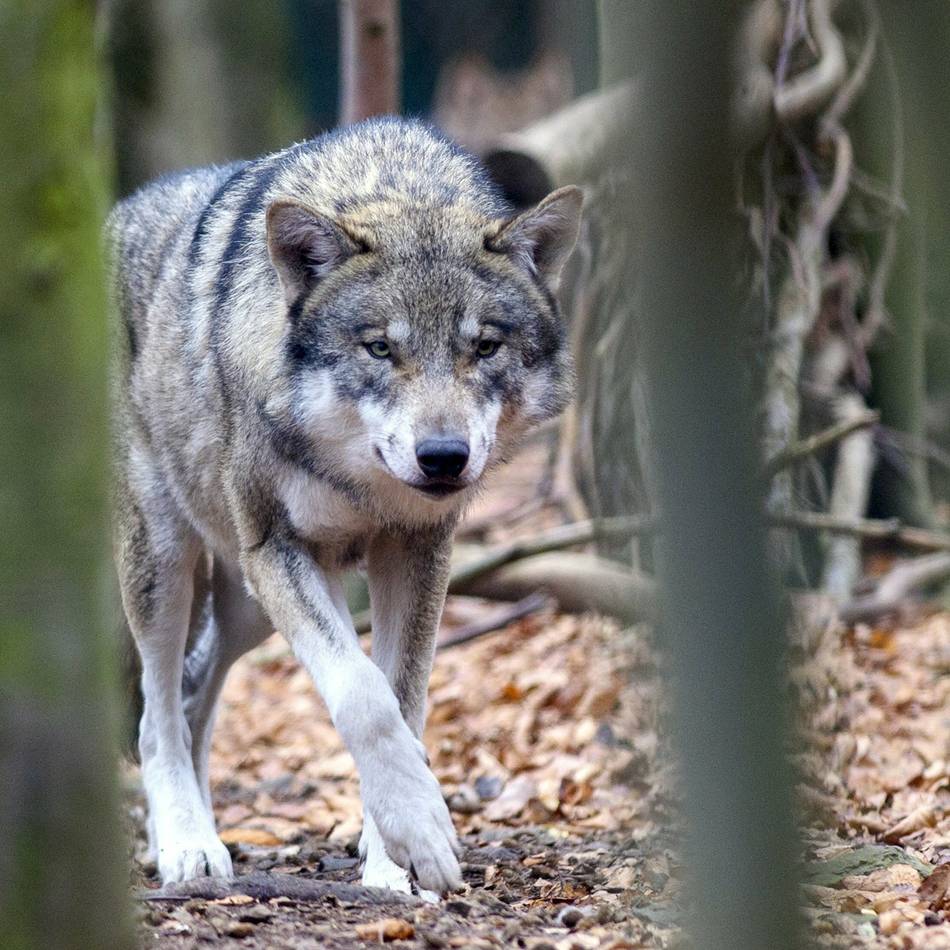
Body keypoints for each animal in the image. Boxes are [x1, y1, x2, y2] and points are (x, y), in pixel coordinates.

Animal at [109, 117, 581, 896]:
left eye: (484, 347)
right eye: (380, 348)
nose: (444, 457)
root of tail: (116, 215)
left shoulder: (418, 552)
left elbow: (403, 699)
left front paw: (394, 859)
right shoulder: (279, 550)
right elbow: (363, 694)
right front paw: (421, 832)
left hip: (245, 607)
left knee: (195, 694)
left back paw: (198, 833)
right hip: (172, 564)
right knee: (157, 712)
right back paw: (186, 845)